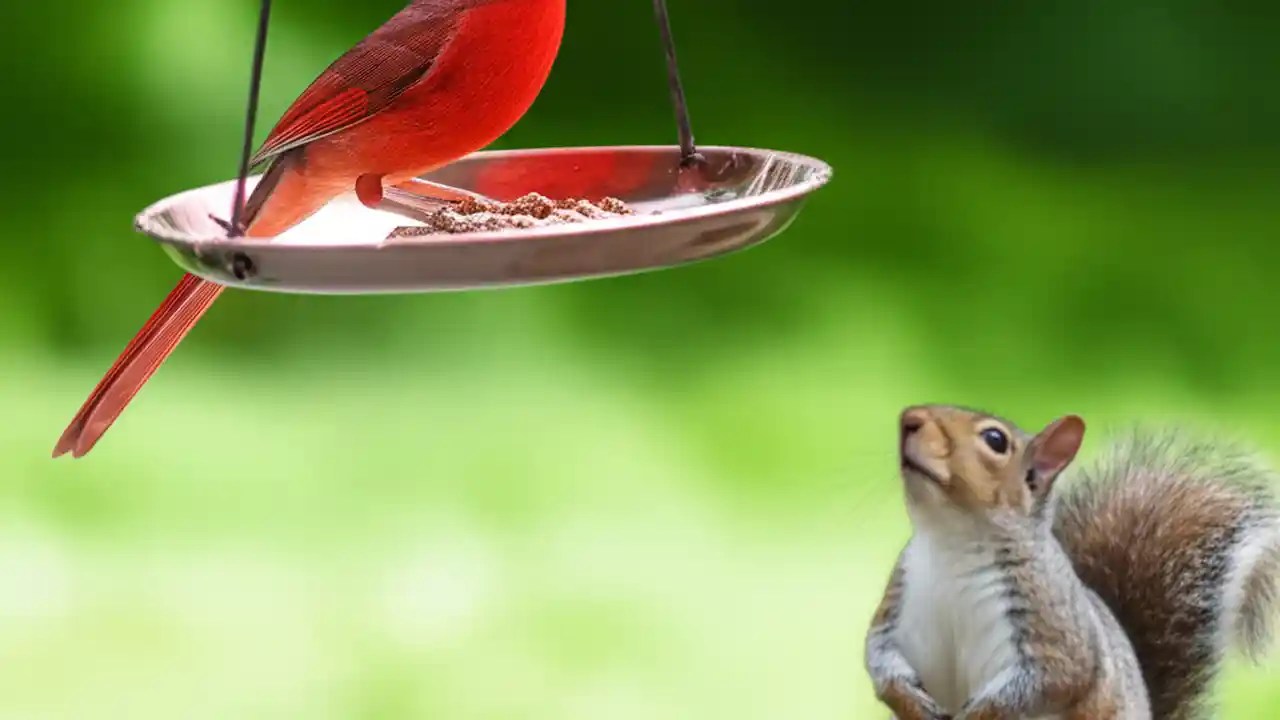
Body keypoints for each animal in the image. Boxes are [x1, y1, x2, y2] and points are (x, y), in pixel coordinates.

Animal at [865, 404, 1280, 720]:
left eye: (995, 440)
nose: (909, 418)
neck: (953, 541)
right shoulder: (895, 603)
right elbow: (877, 657)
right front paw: (907, 698)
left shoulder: (1052, 625)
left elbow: (1051, 680)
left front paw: (977, 715)